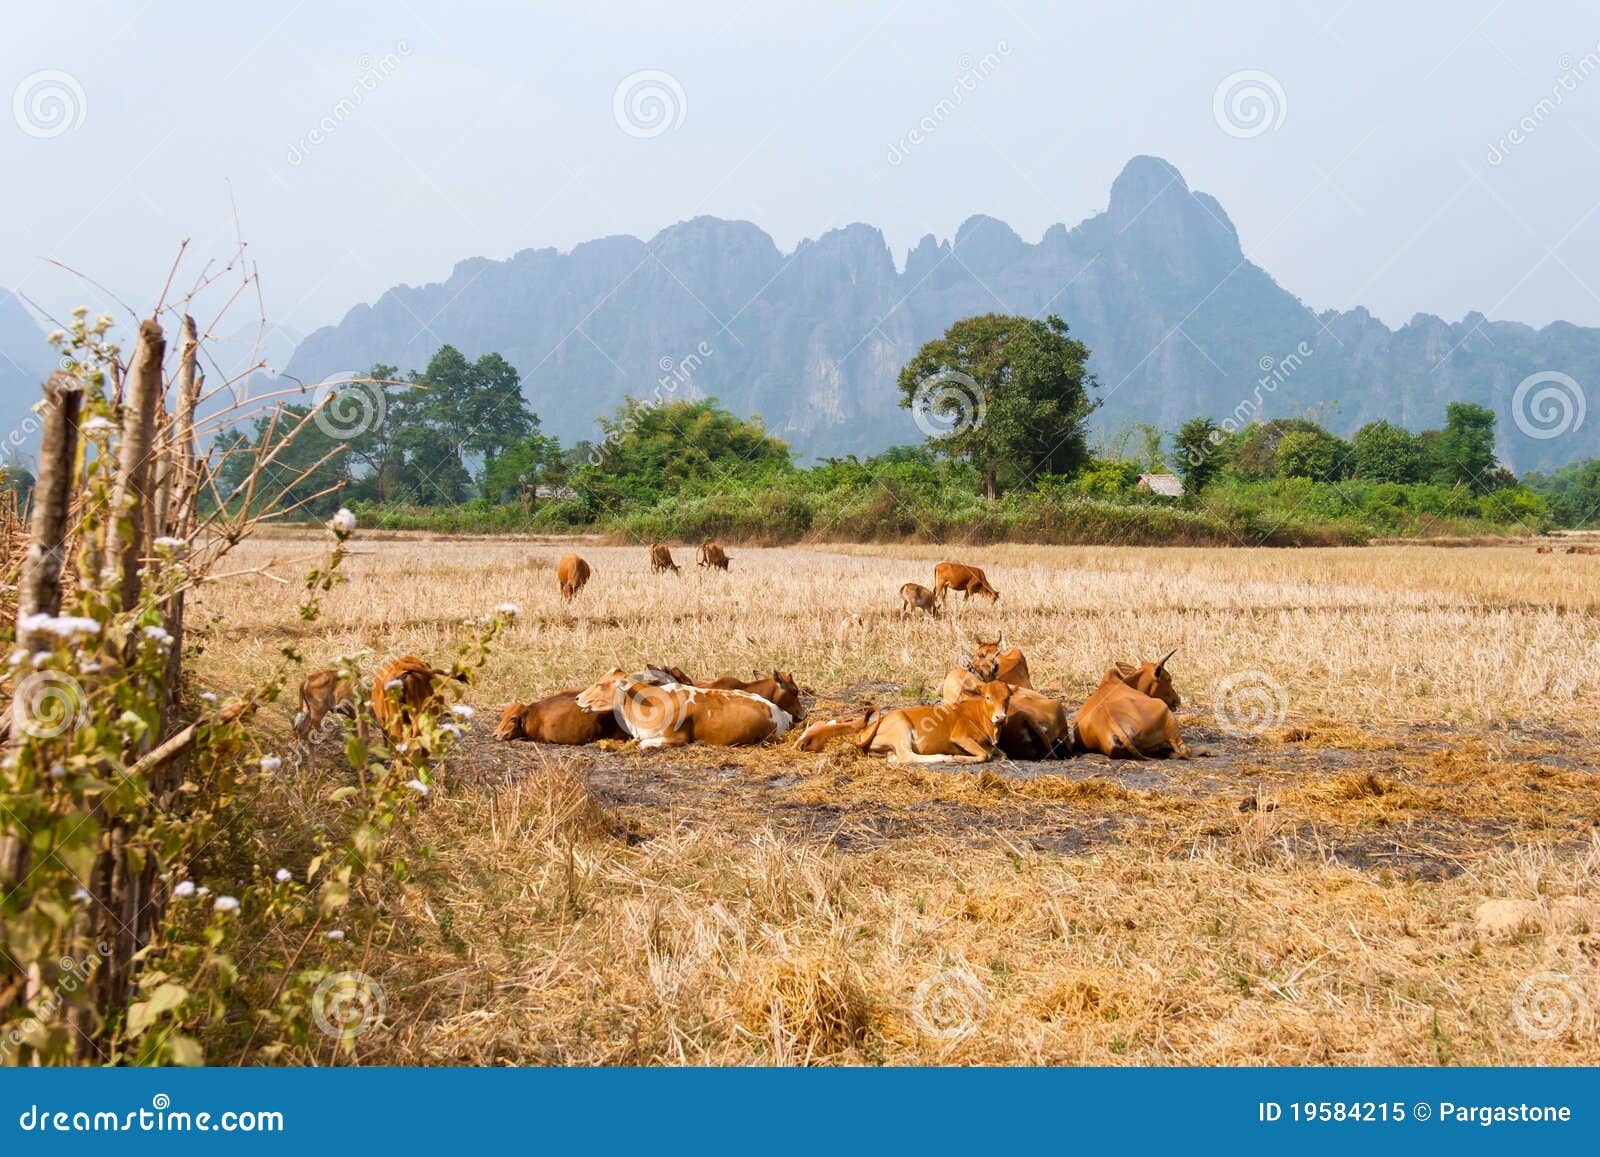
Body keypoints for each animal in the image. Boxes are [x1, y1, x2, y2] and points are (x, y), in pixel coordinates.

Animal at [797, 679, 1014, 764]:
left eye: (1007, 698)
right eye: (987, 697)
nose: (1001, 717)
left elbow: (1001, 754)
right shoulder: (960, 736)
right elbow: (984, 755)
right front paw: (960, 758)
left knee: (897, 759)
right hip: (902, 727)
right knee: (908, 756)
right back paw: (943, 757)